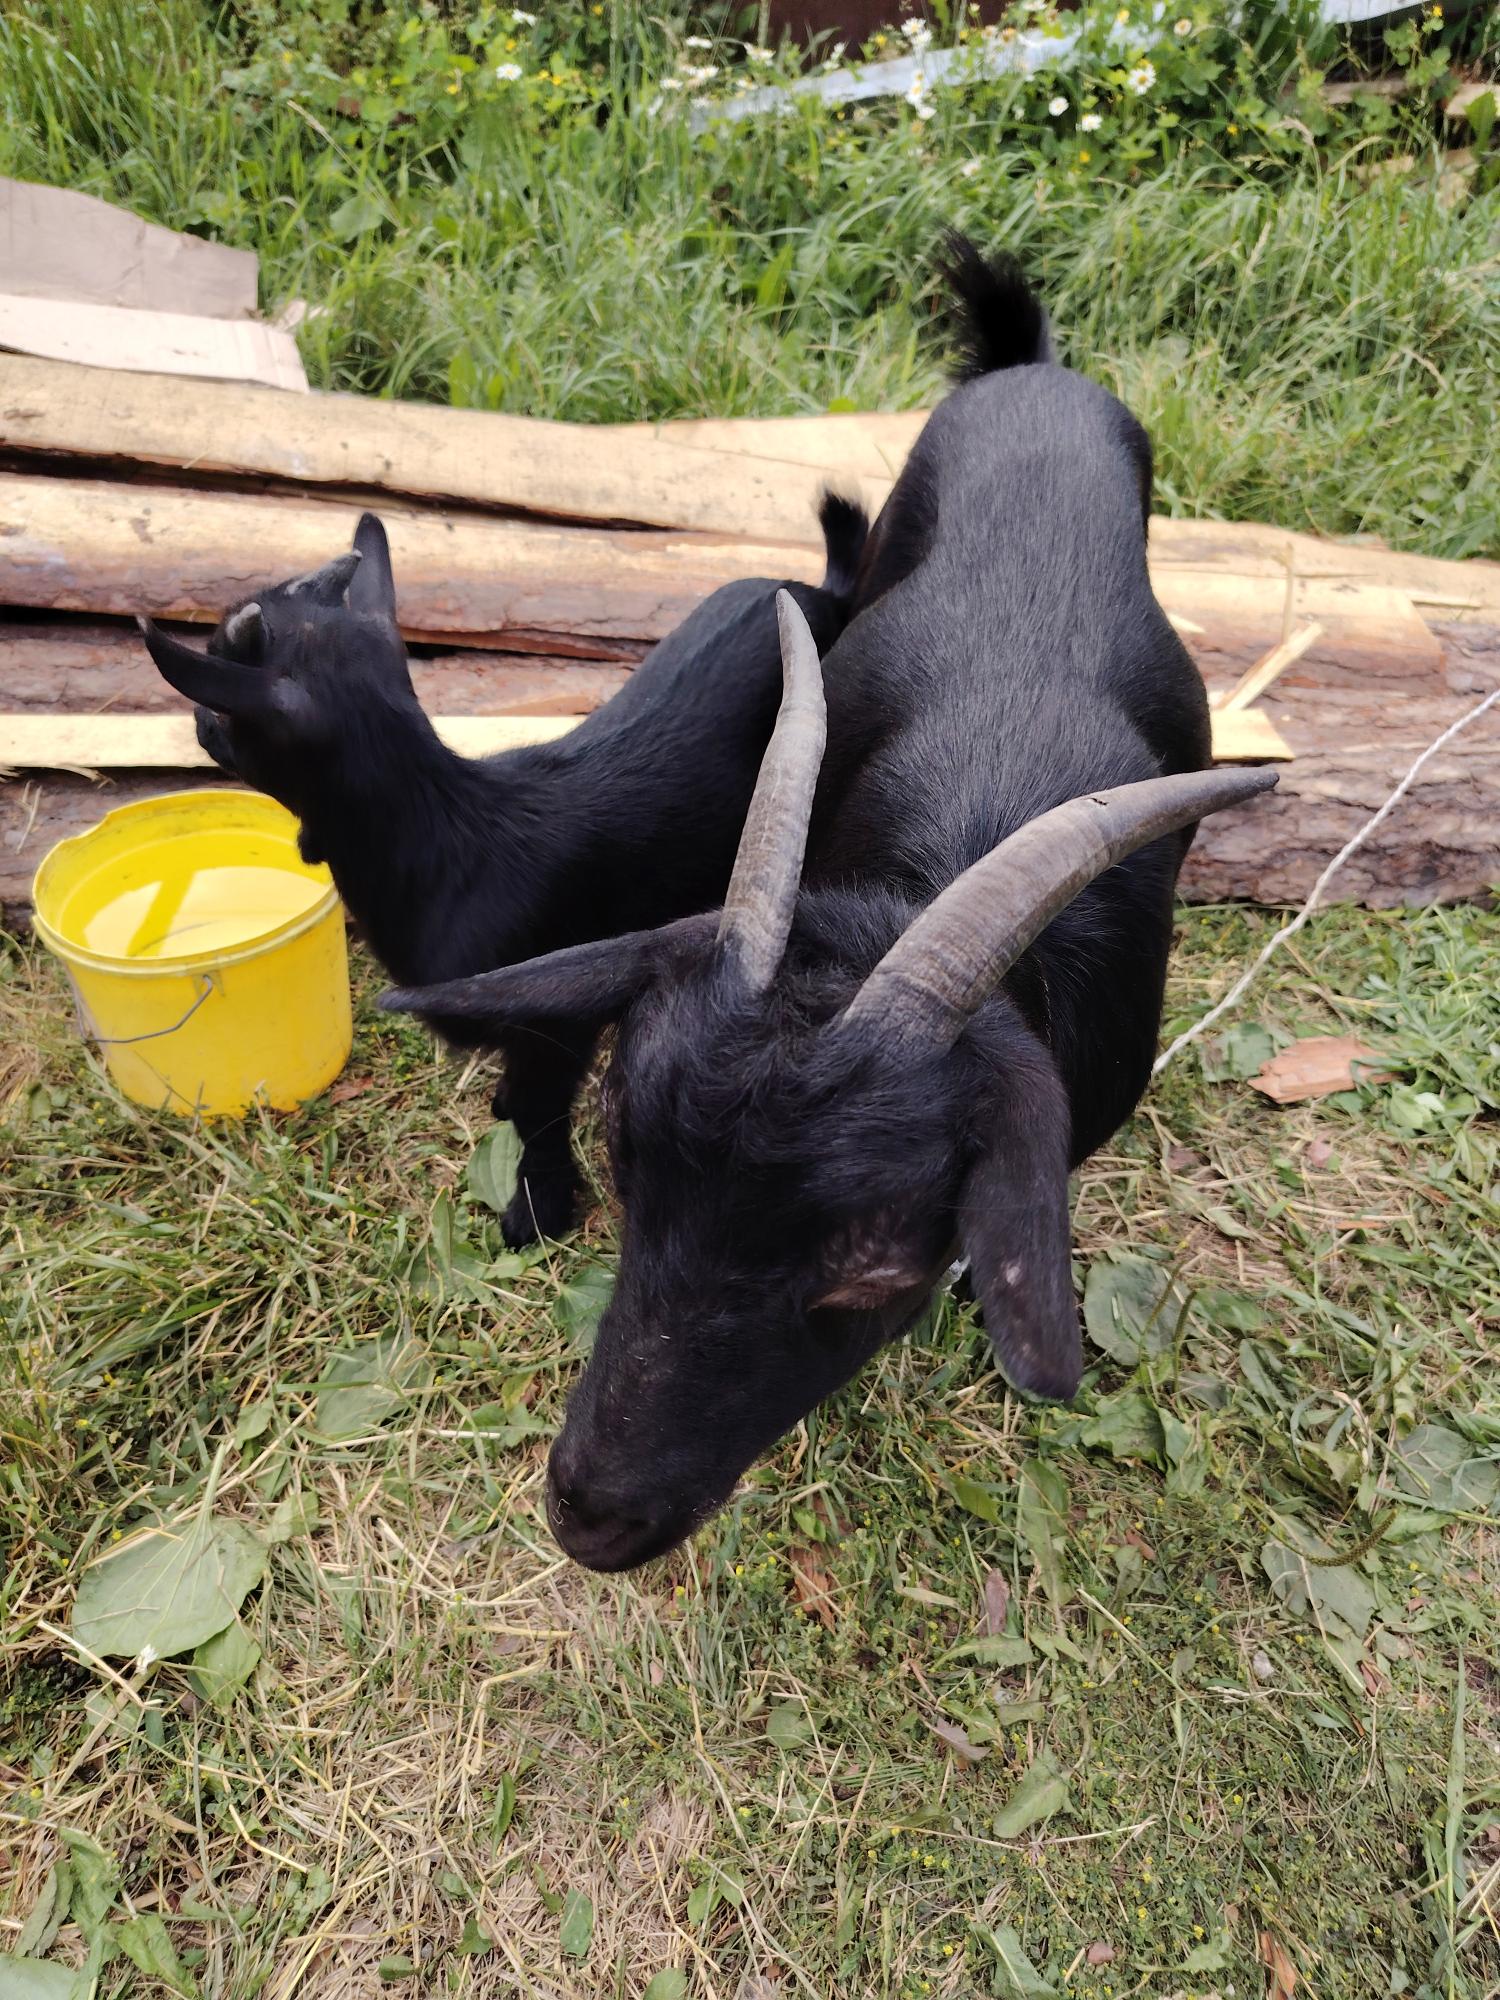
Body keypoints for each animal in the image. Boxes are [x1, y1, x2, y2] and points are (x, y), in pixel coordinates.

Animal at [139, 496, 868, 1246]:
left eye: (222, 703)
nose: (197, 723)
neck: (449, 838)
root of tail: (817, 587)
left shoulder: (555, 1020)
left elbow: (538, 1114)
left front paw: (538, 1211)